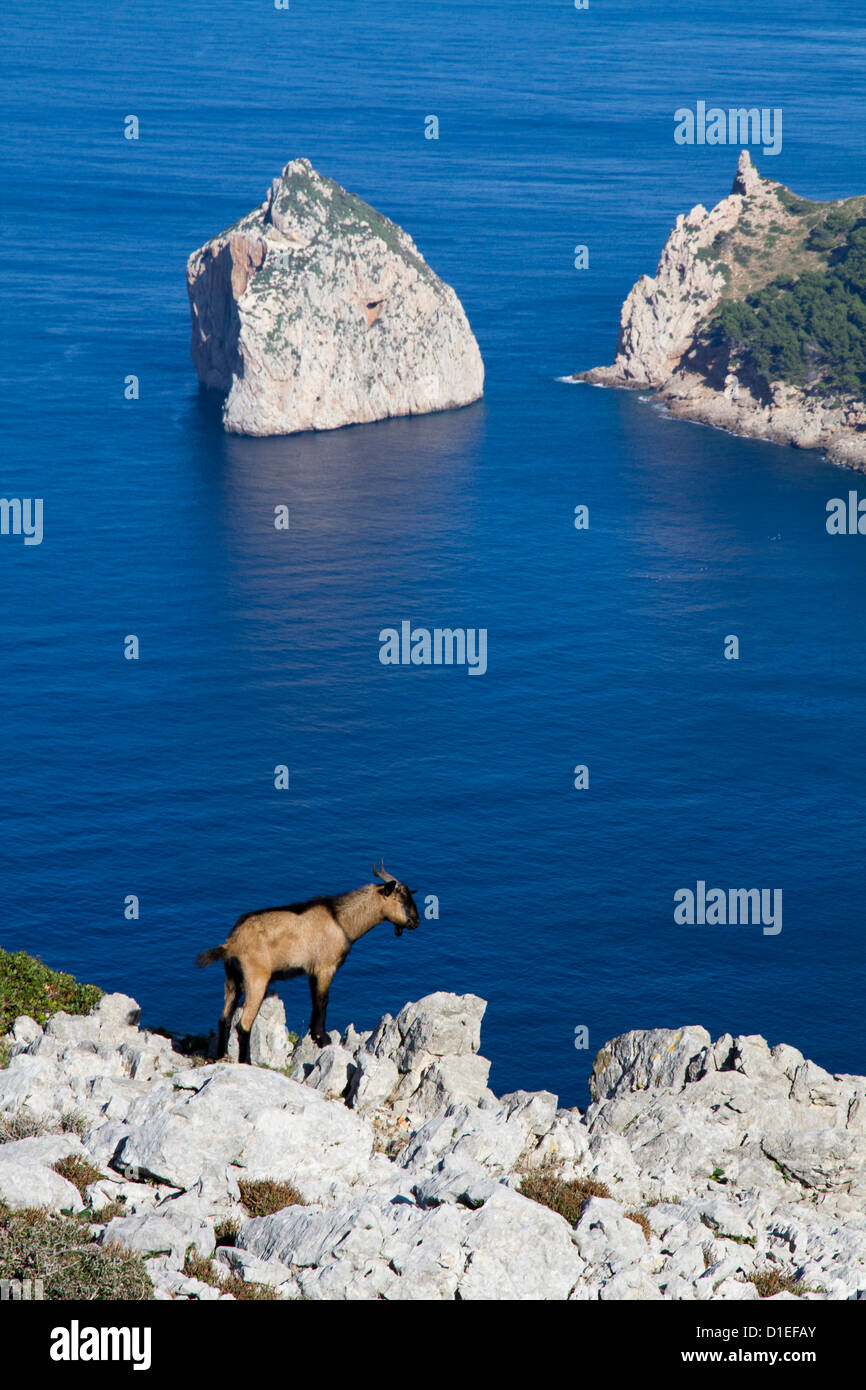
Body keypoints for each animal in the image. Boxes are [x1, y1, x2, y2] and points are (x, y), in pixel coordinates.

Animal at [195, 861, 420, 1063]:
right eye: (402, 899)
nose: (416, 922)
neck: (341, 920)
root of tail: (231, 943)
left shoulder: (312, 971)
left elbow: (314, 1001)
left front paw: (315, 1036)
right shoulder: (325, 968)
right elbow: (322, 1001)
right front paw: (323, 1039)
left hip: (232, 979)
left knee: (224, 1019)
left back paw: (219, 1056)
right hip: (256, 978)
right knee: (243, 1025)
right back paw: (246, 1061)